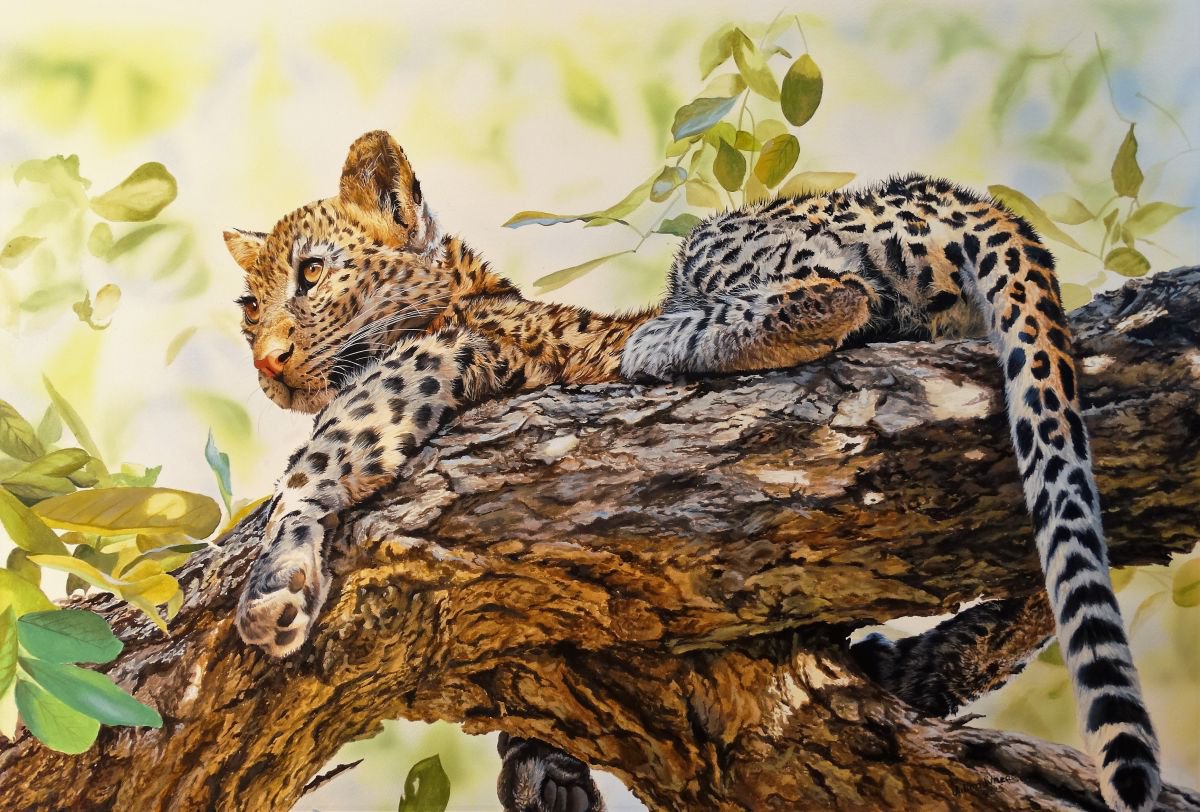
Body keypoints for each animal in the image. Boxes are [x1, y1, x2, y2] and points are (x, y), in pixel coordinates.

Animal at [225, 130, 1160, 812]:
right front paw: (547, 770)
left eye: (312, 273)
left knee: (831, 294)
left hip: (731, 241)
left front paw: (275, 586)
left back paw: (655, 342)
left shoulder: (446, 354)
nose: (267, 363)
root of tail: (951, 194)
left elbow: (323, 455)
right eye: (247, 308)